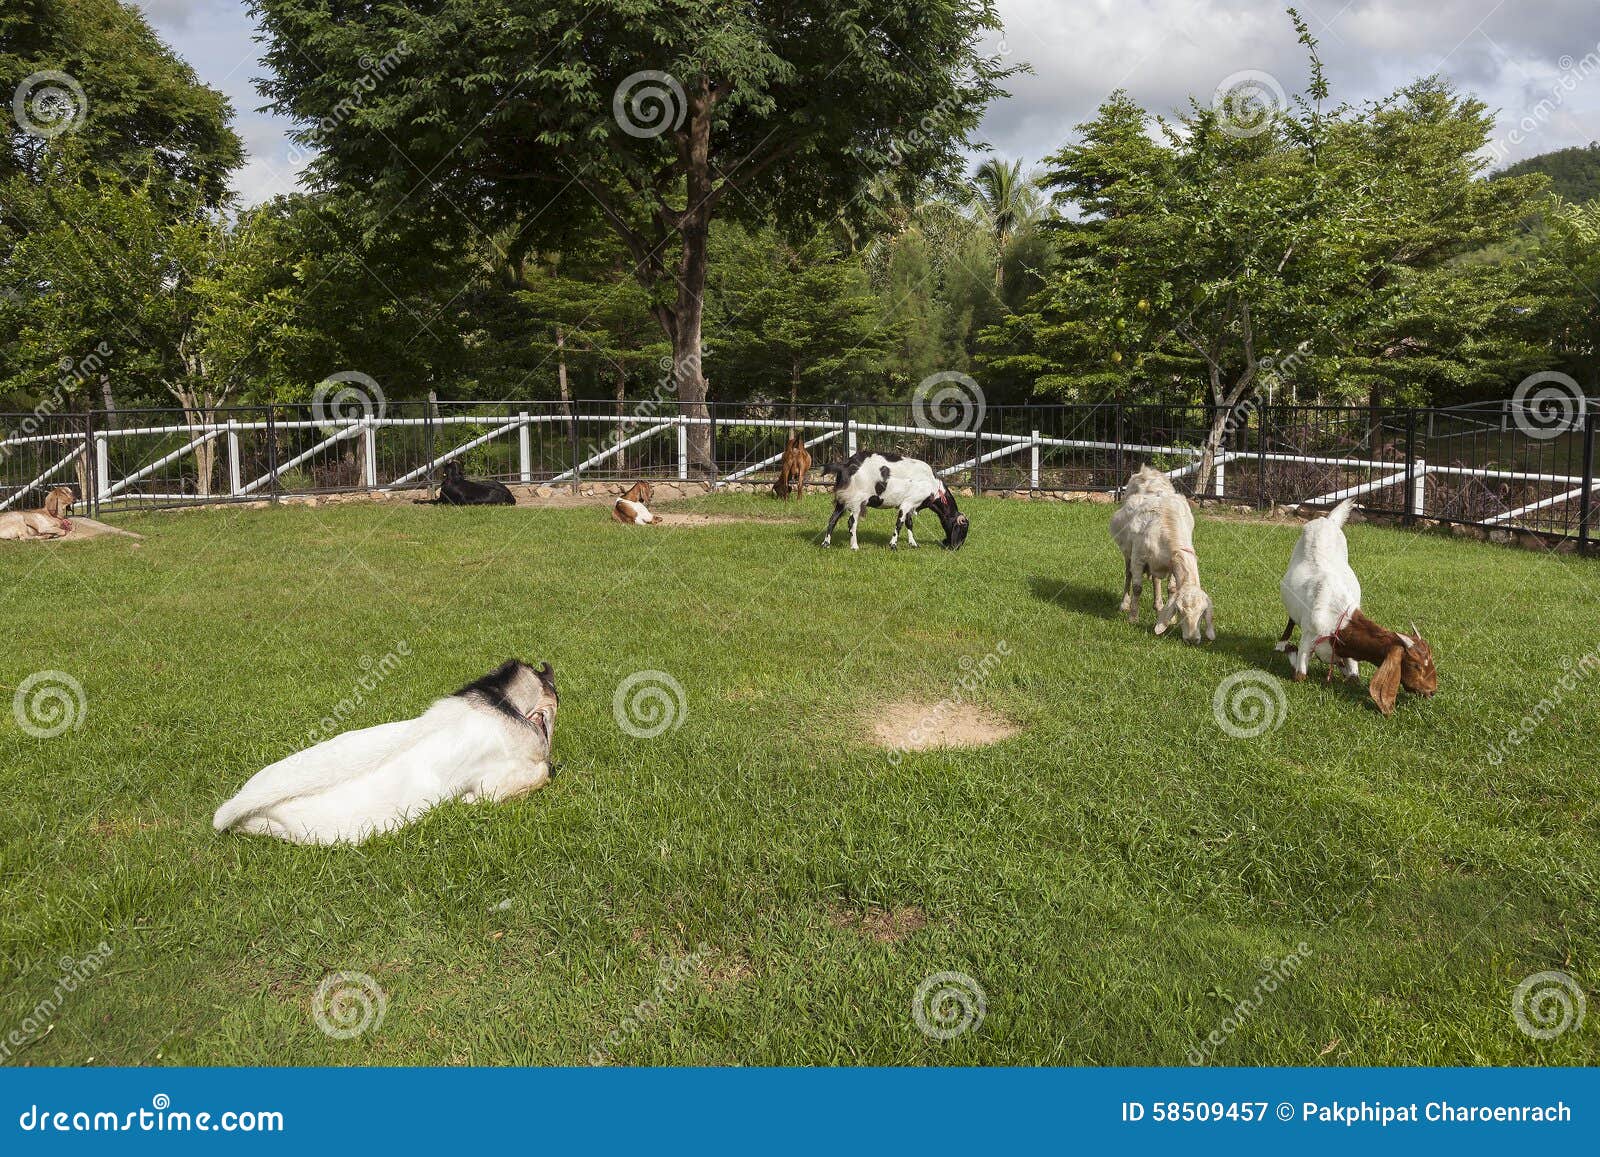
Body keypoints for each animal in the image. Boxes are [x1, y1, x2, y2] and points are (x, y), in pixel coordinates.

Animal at [819, 451, 968, 550]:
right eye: (962, 529)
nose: (955, 548)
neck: (933, 485)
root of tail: (846, 464)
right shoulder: (907, 504)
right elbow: (899, 524)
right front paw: (893, 545)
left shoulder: (910, 505)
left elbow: (909, 523)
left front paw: (913, 544)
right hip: (856, 500)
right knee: (851, 522)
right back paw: (854, 546)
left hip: (842, 500)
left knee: (832, 519)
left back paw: (826, 544)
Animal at [1109, 469, 1214, 643]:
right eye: (1180, 610)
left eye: (1202, 613)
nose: (1192, 640)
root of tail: (1147, 471)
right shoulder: (1138, 557)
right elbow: (1137, 587)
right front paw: (1133, 618)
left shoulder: (1171, 563)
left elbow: (1172, 588)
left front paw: (1170, 619)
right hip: (1127, 552)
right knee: (1128, 574)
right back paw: (1124, 604)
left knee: (1156, 579)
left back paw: (1158, 605)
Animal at [1278, 497, 1437, 715]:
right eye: (1415, 665)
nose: (1432, 691)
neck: (1338, 618)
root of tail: (1327, 520)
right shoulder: (1309, 637)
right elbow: (1299, 675)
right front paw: (1290, 651)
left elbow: (1353, 678)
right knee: (1291, 618)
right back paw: (1282, 643)